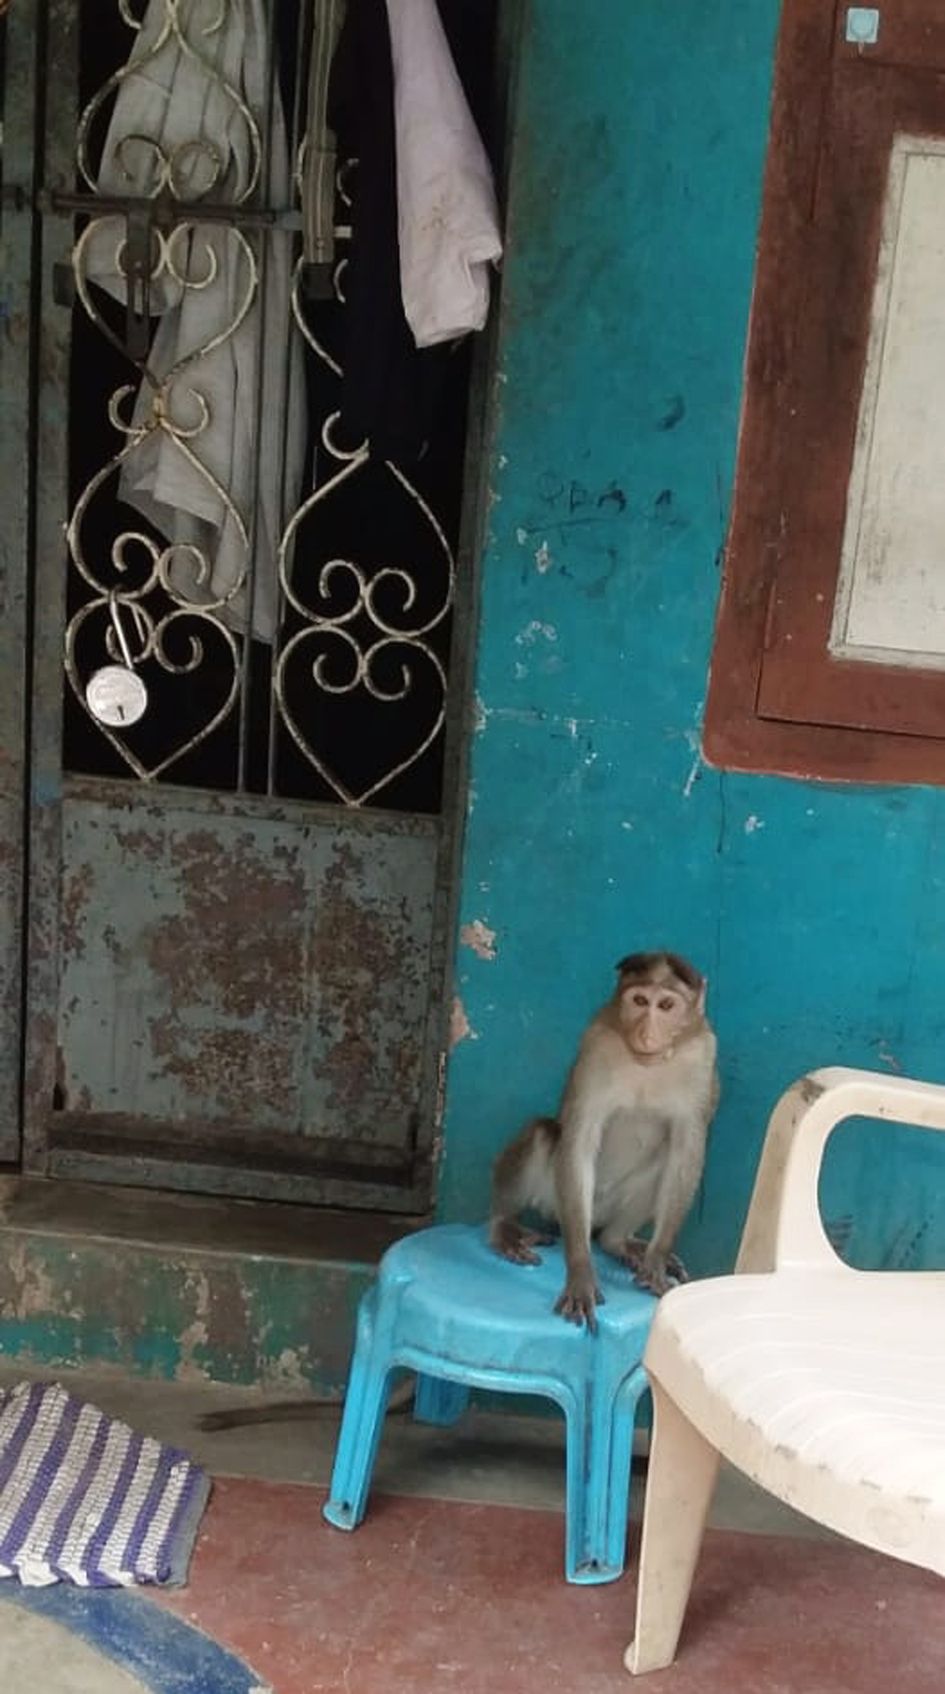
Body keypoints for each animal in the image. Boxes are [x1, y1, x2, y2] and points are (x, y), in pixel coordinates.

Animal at [489, 951, 718, 1331]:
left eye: (666, 1005)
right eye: (639, 1001)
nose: (646, 1033)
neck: (648, 1064)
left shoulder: (702, 1057)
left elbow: (686, 1151)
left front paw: (657, 1259)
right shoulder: (595, 1044)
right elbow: (580, 1139)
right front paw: (581, 1270)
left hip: (612, 1209)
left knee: (663, 1162)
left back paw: (619, 1243)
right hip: (556, 1200)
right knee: (541, 1133)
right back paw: (503, 1223)